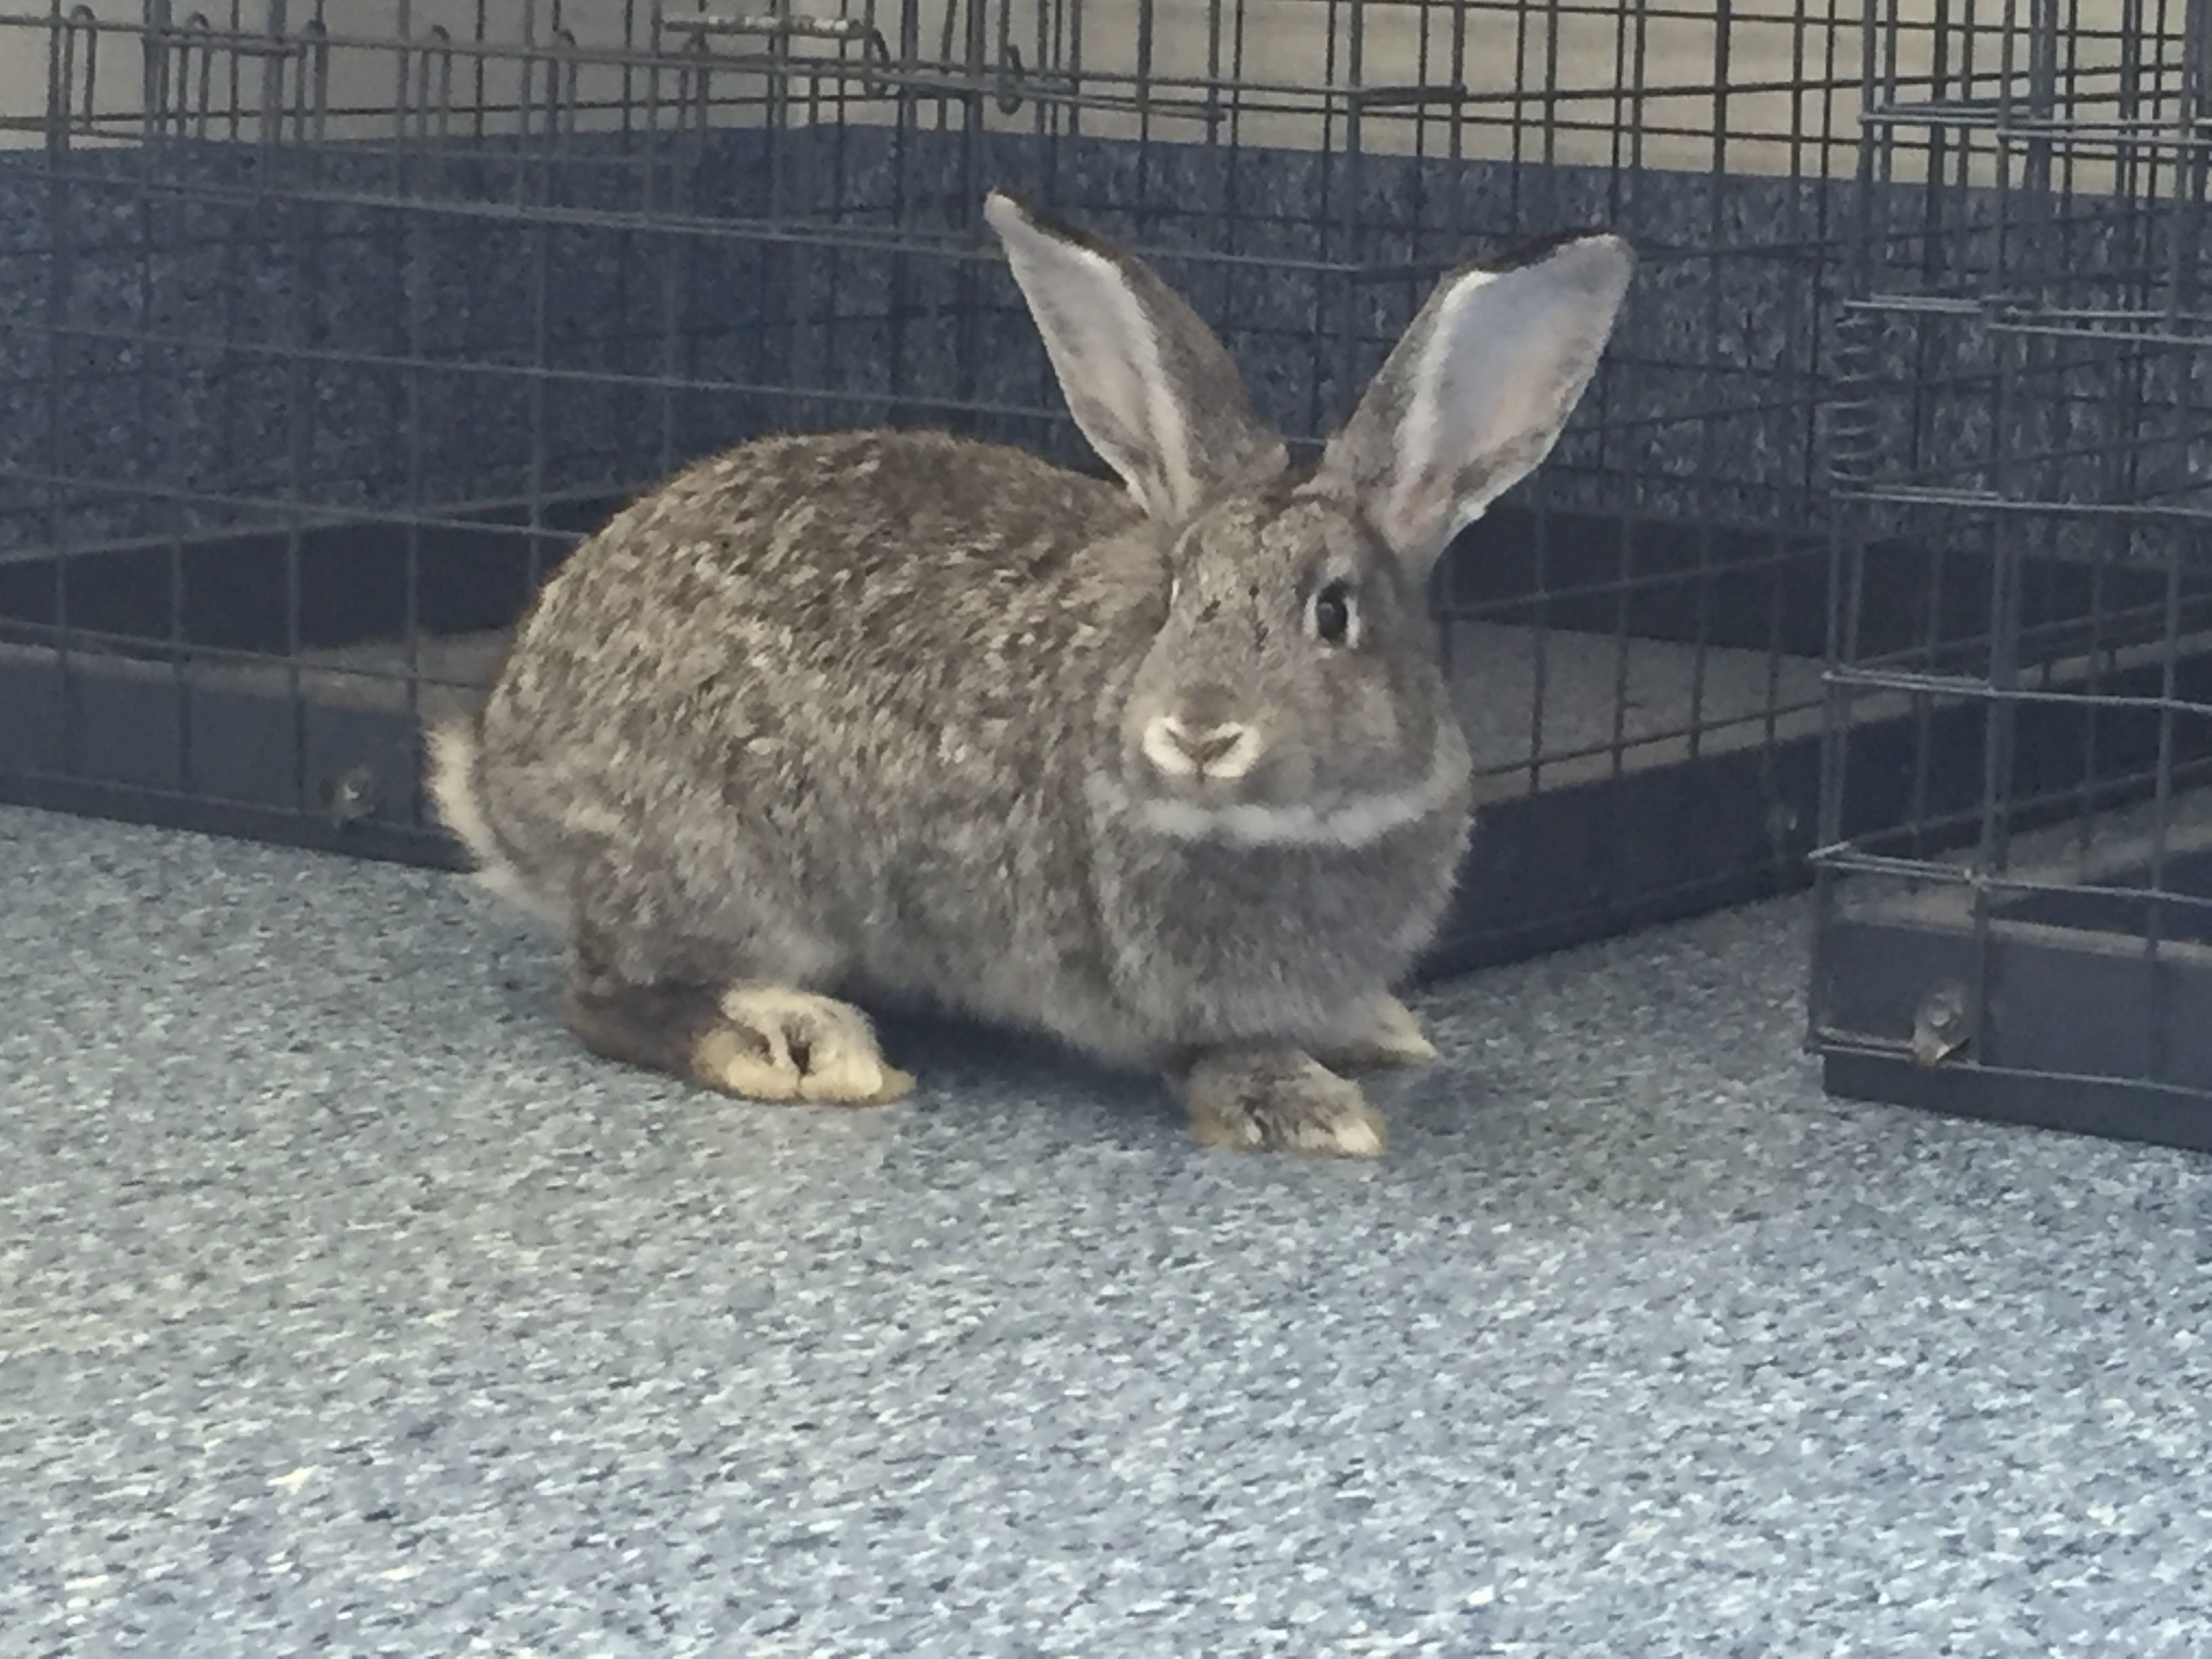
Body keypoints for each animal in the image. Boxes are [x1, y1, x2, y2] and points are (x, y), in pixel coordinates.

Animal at [426, 190, 1633, 1157]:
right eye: (1174, 594)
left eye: (1334, 614)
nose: (1199, 734)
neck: (1290, 829)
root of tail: (498, 777)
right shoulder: (1150, 986)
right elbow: (1206, 1054)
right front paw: (1303, 1109)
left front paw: (1378, 1033)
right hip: (717, 868)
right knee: (605, 995)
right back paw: (794, 1042)